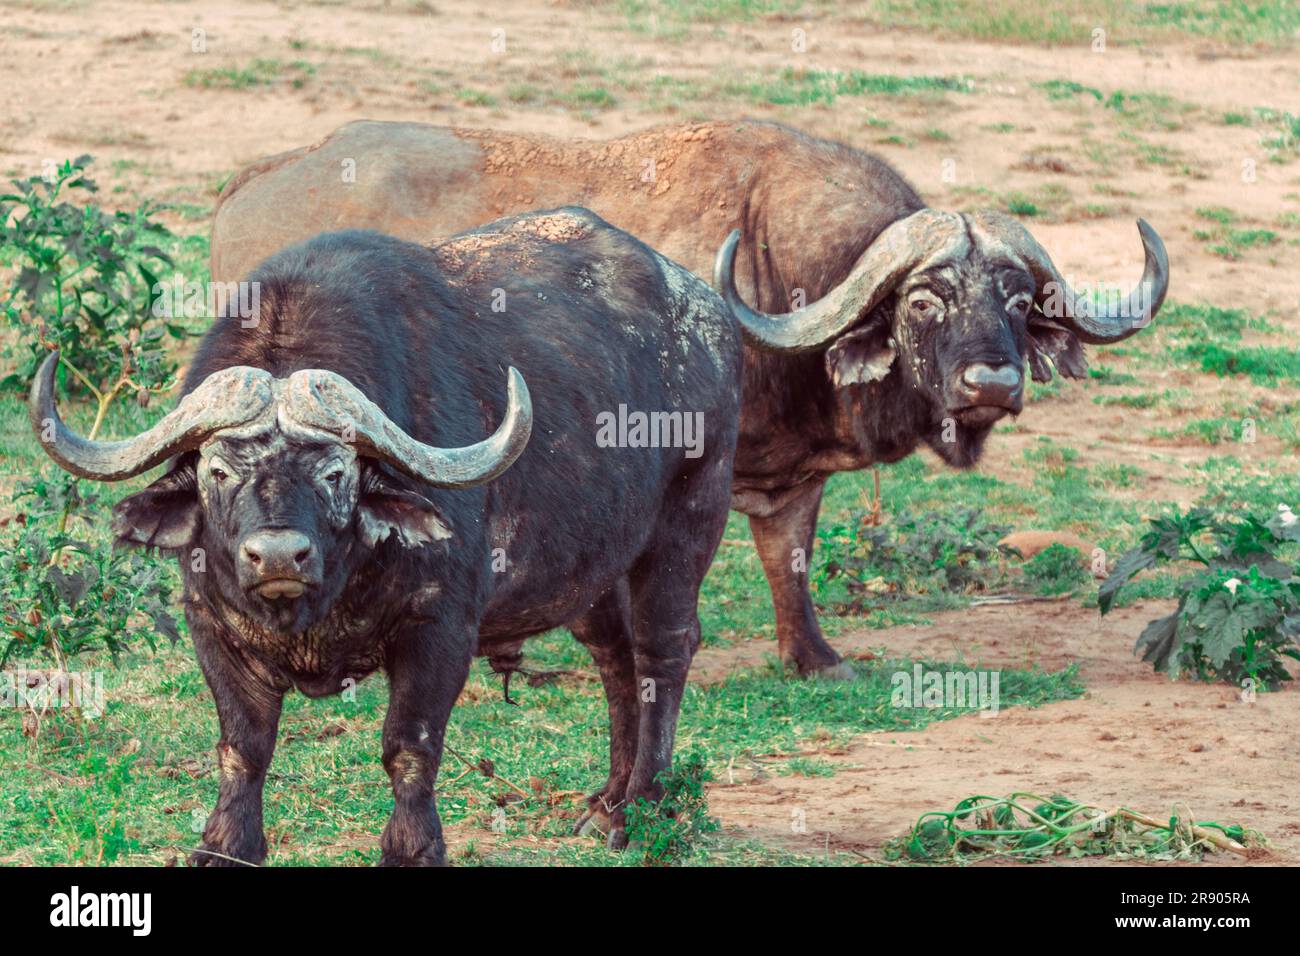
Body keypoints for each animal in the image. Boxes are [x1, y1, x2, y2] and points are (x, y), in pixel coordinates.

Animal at [30, 207, 769, 863]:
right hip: (587, 568)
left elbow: (409, 746)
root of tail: (708, 314)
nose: (278, 557)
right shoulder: (212, 626)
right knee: (616, 659)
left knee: (663, 652)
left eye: (335, 472)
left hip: (689, 516)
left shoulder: (439, 627)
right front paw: (225, 848)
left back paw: (644, 808)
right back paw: (606, 802)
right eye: (217, 471)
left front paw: (412, 849)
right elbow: (243, 747)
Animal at [210, 119, 1169, 677]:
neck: (775, 269)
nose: (991, 383)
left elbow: (791, 562)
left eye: (1017, 298)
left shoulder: (788, 480)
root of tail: (256, 179)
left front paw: (816, 658)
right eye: (925, 300)